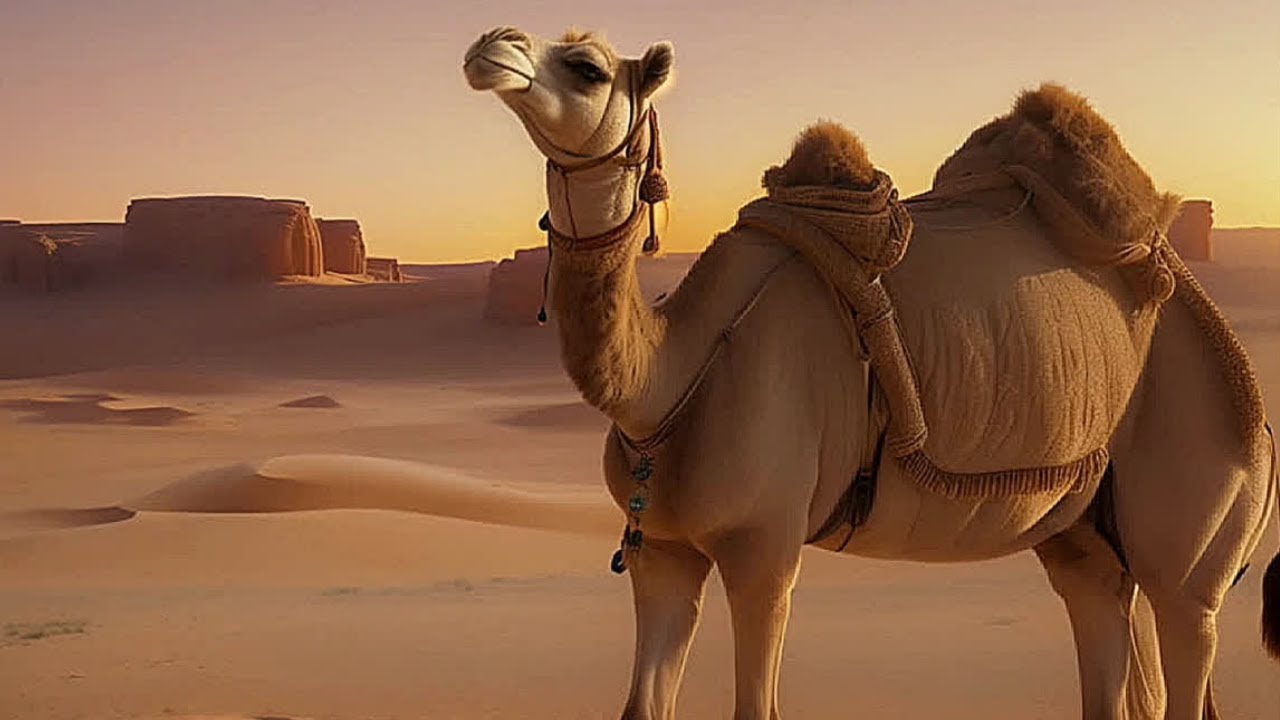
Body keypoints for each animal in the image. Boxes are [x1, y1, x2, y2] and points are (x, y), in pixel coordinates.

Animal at [462, 26, 1280, 720]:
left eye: (587, 66)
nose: (489, 46)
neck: (673, 373)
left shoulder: (765, 545)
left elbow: (756, 706)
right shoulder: (661, 550)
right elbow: (640, 705)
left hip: (1197, 514)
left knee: (1186, 613)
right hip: (1083, 535)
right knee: (1100, 607)